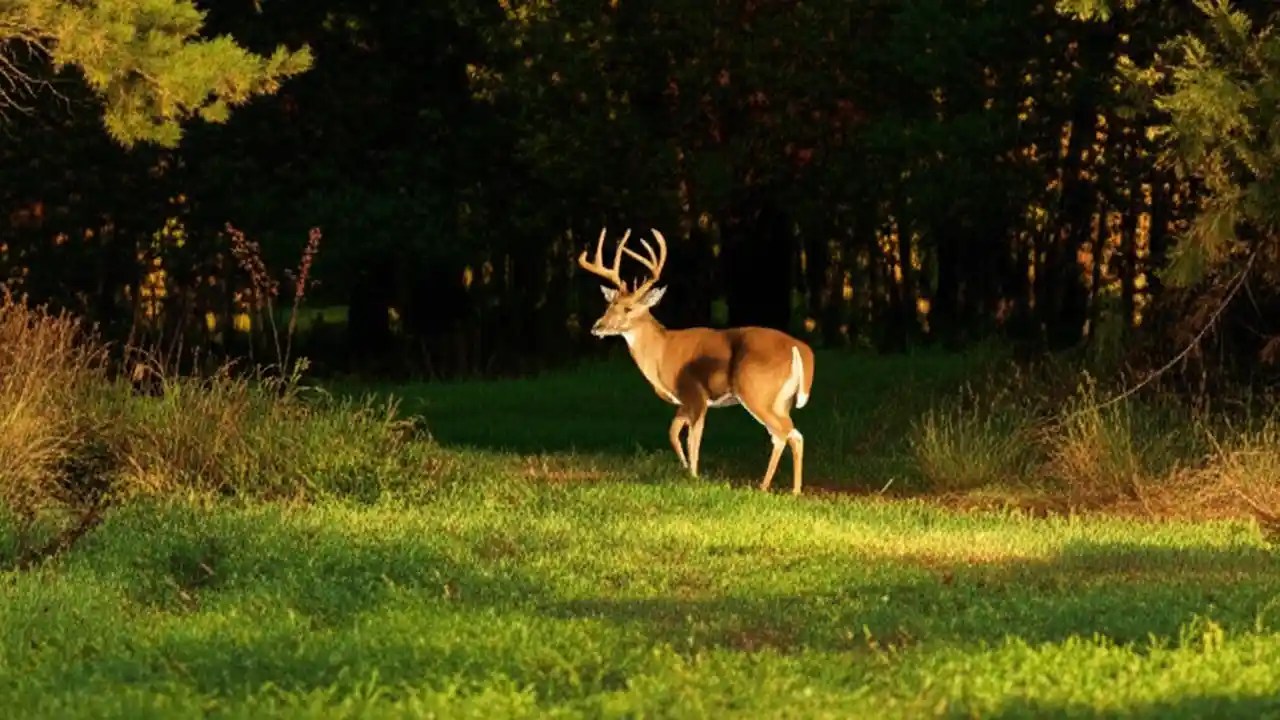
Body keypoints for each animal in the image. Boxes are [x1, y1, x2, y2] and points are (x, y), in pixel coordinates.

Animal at [578, 227, 816, 495]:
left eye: (628, 308)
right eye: (609, 305)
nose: (597, 327)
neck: (661, 352)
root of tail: (799, 348)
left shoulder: (695, 393)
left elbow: (694, 438)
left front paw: (694, 476)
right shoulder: (684, 400)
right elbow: (673, 432)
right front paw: (685, 469)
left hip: (757, 390)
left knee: (785, 433)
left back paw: (765, 486)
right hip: (781, 400)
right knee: (790, 434)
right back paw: (794, 490)